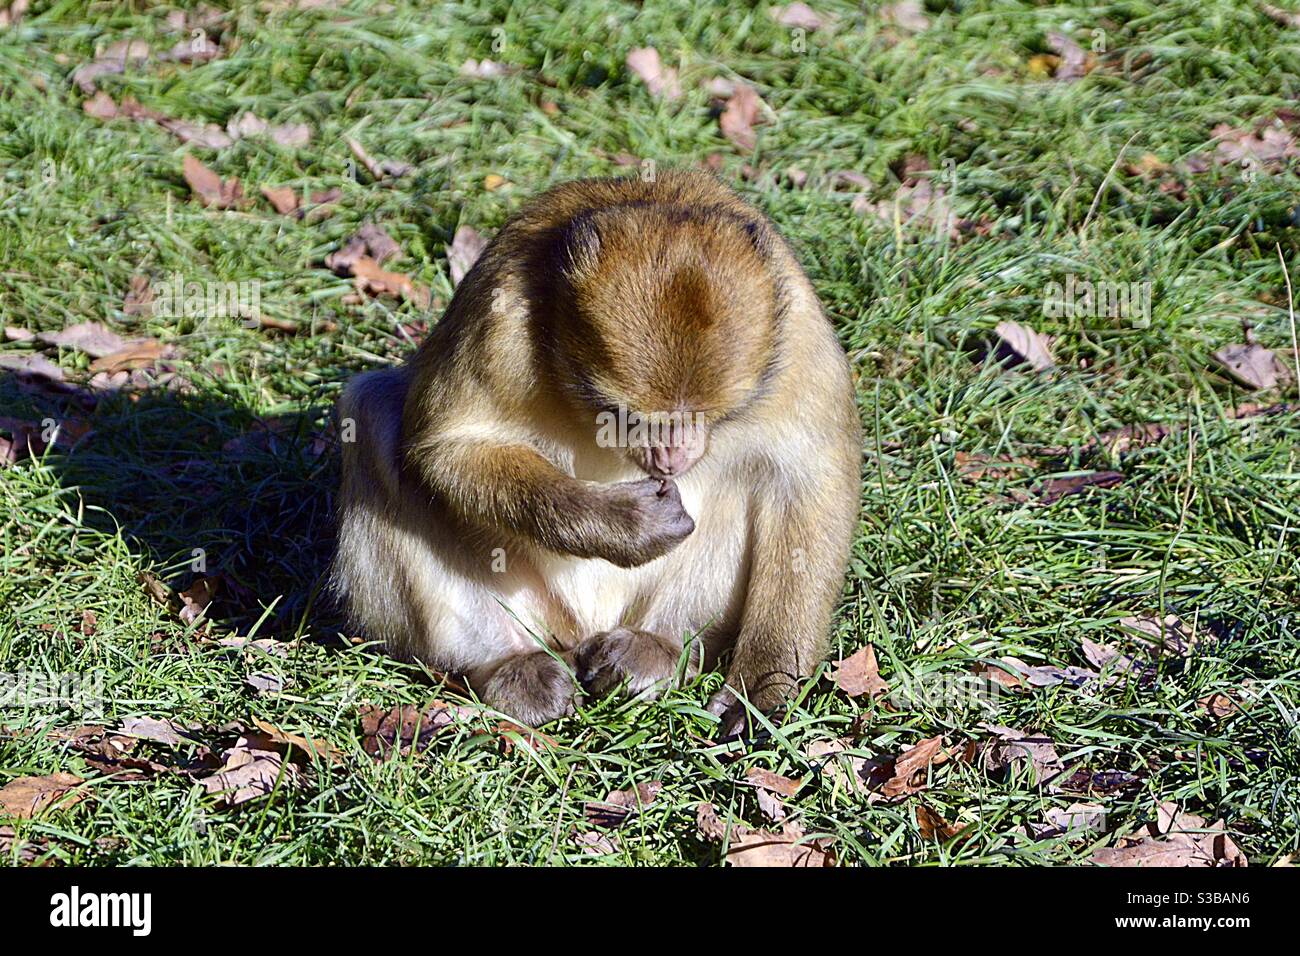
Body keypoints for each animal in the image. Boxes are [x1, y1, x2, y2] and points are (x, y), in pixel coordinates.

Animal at [332, 170, 860, 734]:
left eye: (709, 415)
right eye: (625, 415)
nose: (671, 456)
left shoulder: (800, 338)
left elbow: (808, 483)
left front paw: (764, 684)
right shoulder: (497, 316)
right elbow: (446, 448)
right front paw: (623, 522)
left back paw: (657, 646)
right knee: (370, 411)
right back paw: (508, 663)